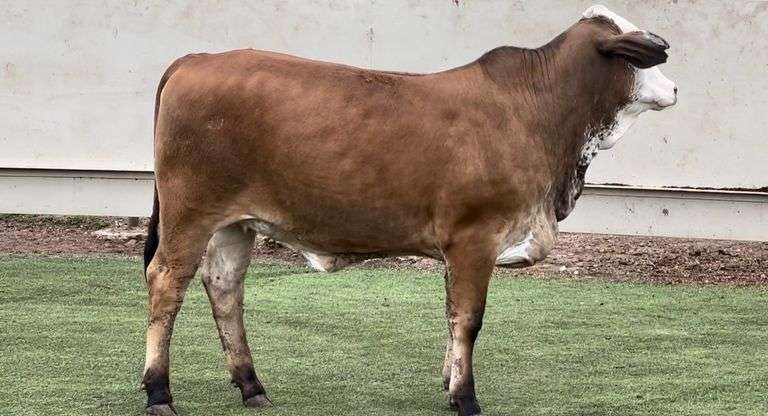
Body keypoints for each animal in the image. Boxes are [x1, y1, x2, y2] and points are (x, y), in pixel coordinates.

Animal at [141, 5, 676, 415]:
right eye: (636, 54)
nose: (674, 88)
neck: (536, 112)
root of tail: (197, 59)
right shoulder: (473, 237)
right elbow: (468, 318)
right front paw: (466, 397)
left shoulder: (457, 248)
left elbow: (450, 314)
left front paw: (449, 383)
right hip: (190, 214)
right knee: (166, 285)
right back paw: (158, 392)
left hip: (234, 224)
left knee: (224, 287)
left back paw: (252, 385)